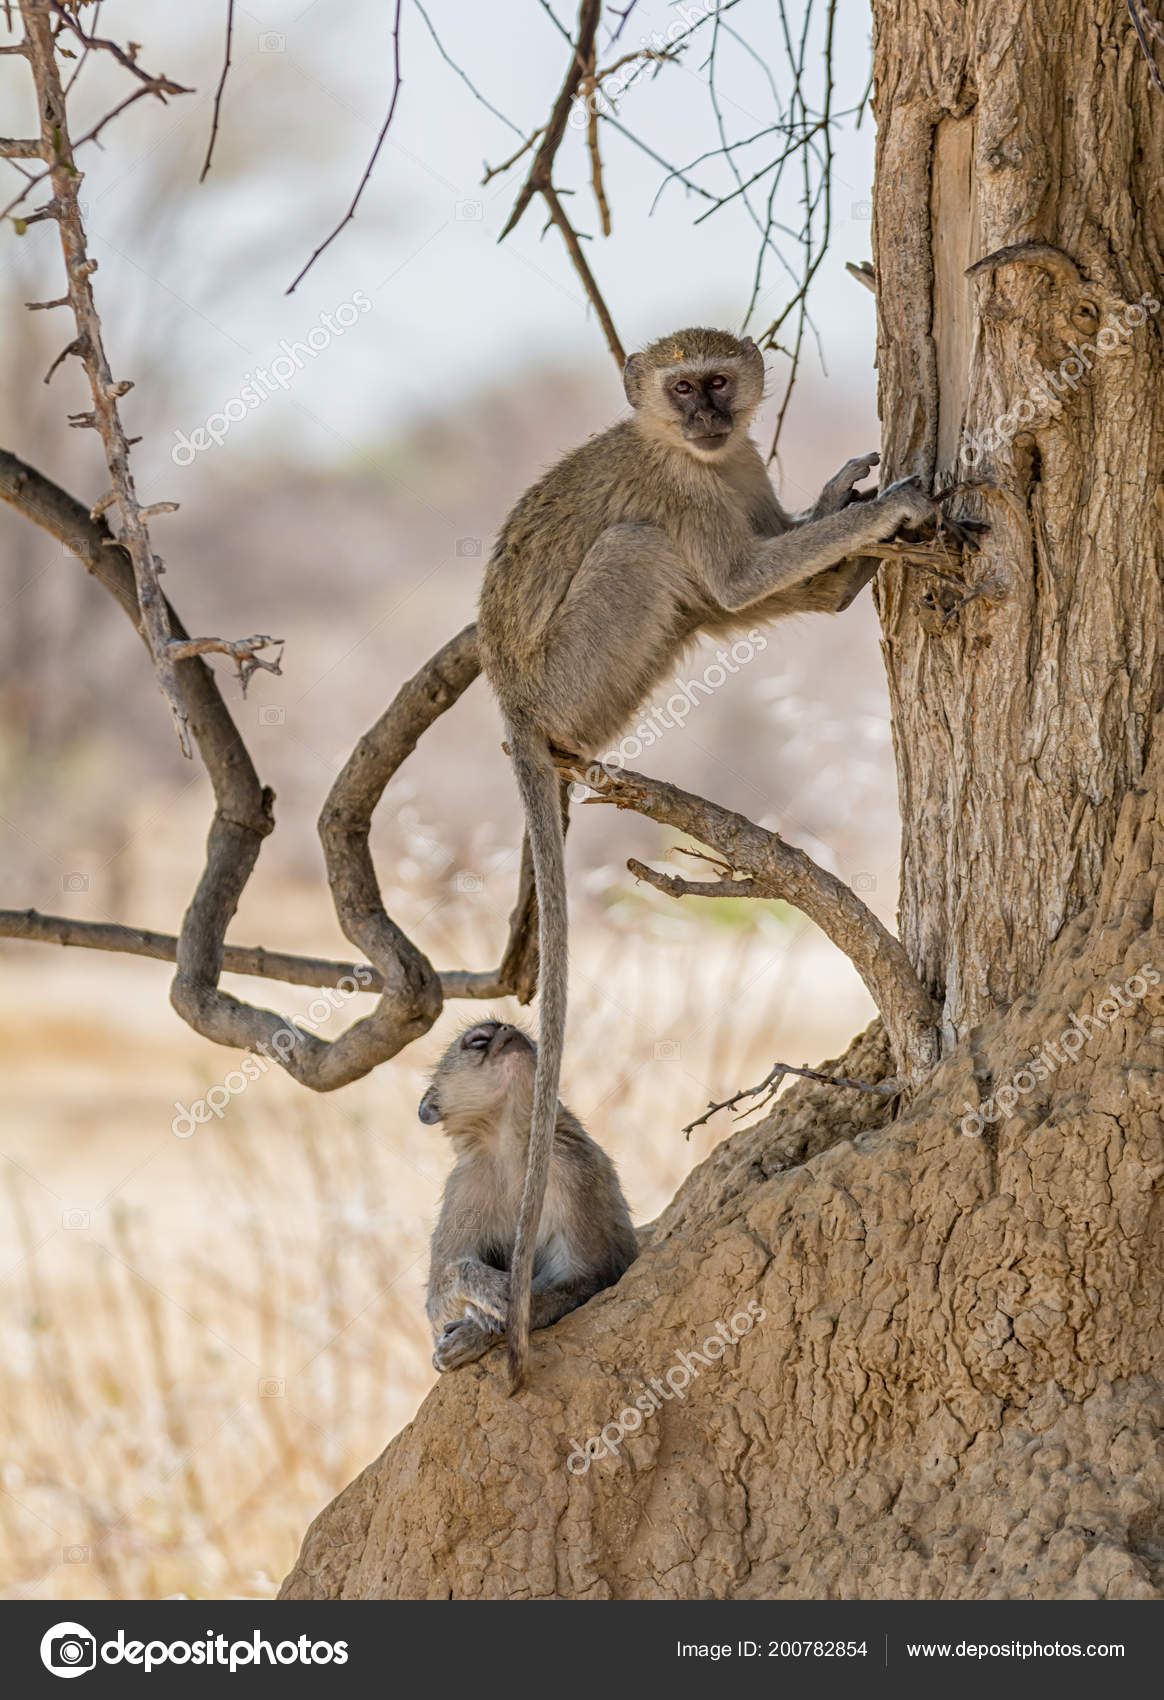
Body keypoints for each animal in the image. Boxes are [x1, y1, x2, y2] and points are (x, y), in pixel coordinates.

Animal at [422, 1018, 637, 1375]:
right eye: (478, 1039)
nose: (509, 1030)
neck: (511, 1140)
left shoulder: (575, 1169)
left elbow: (587, 1280)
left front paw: (477, 1332)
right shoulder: (465, 1187)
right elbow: (436, 1310)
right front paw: (487, 1291)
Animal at [478, 325, 946, 1391]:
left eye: (720, 384)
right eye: (682, 387)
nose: (707, 417)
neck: (699, 458)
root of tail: (517, 708)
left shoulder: (739, 472)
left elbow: (752, 562)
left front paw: (840, 505)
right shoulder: (685, 495)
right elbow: (731, 573)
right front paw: (884, 508)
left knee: (706, 606)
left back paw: (837, 585)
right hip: (580, 674)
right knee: (648, 554)